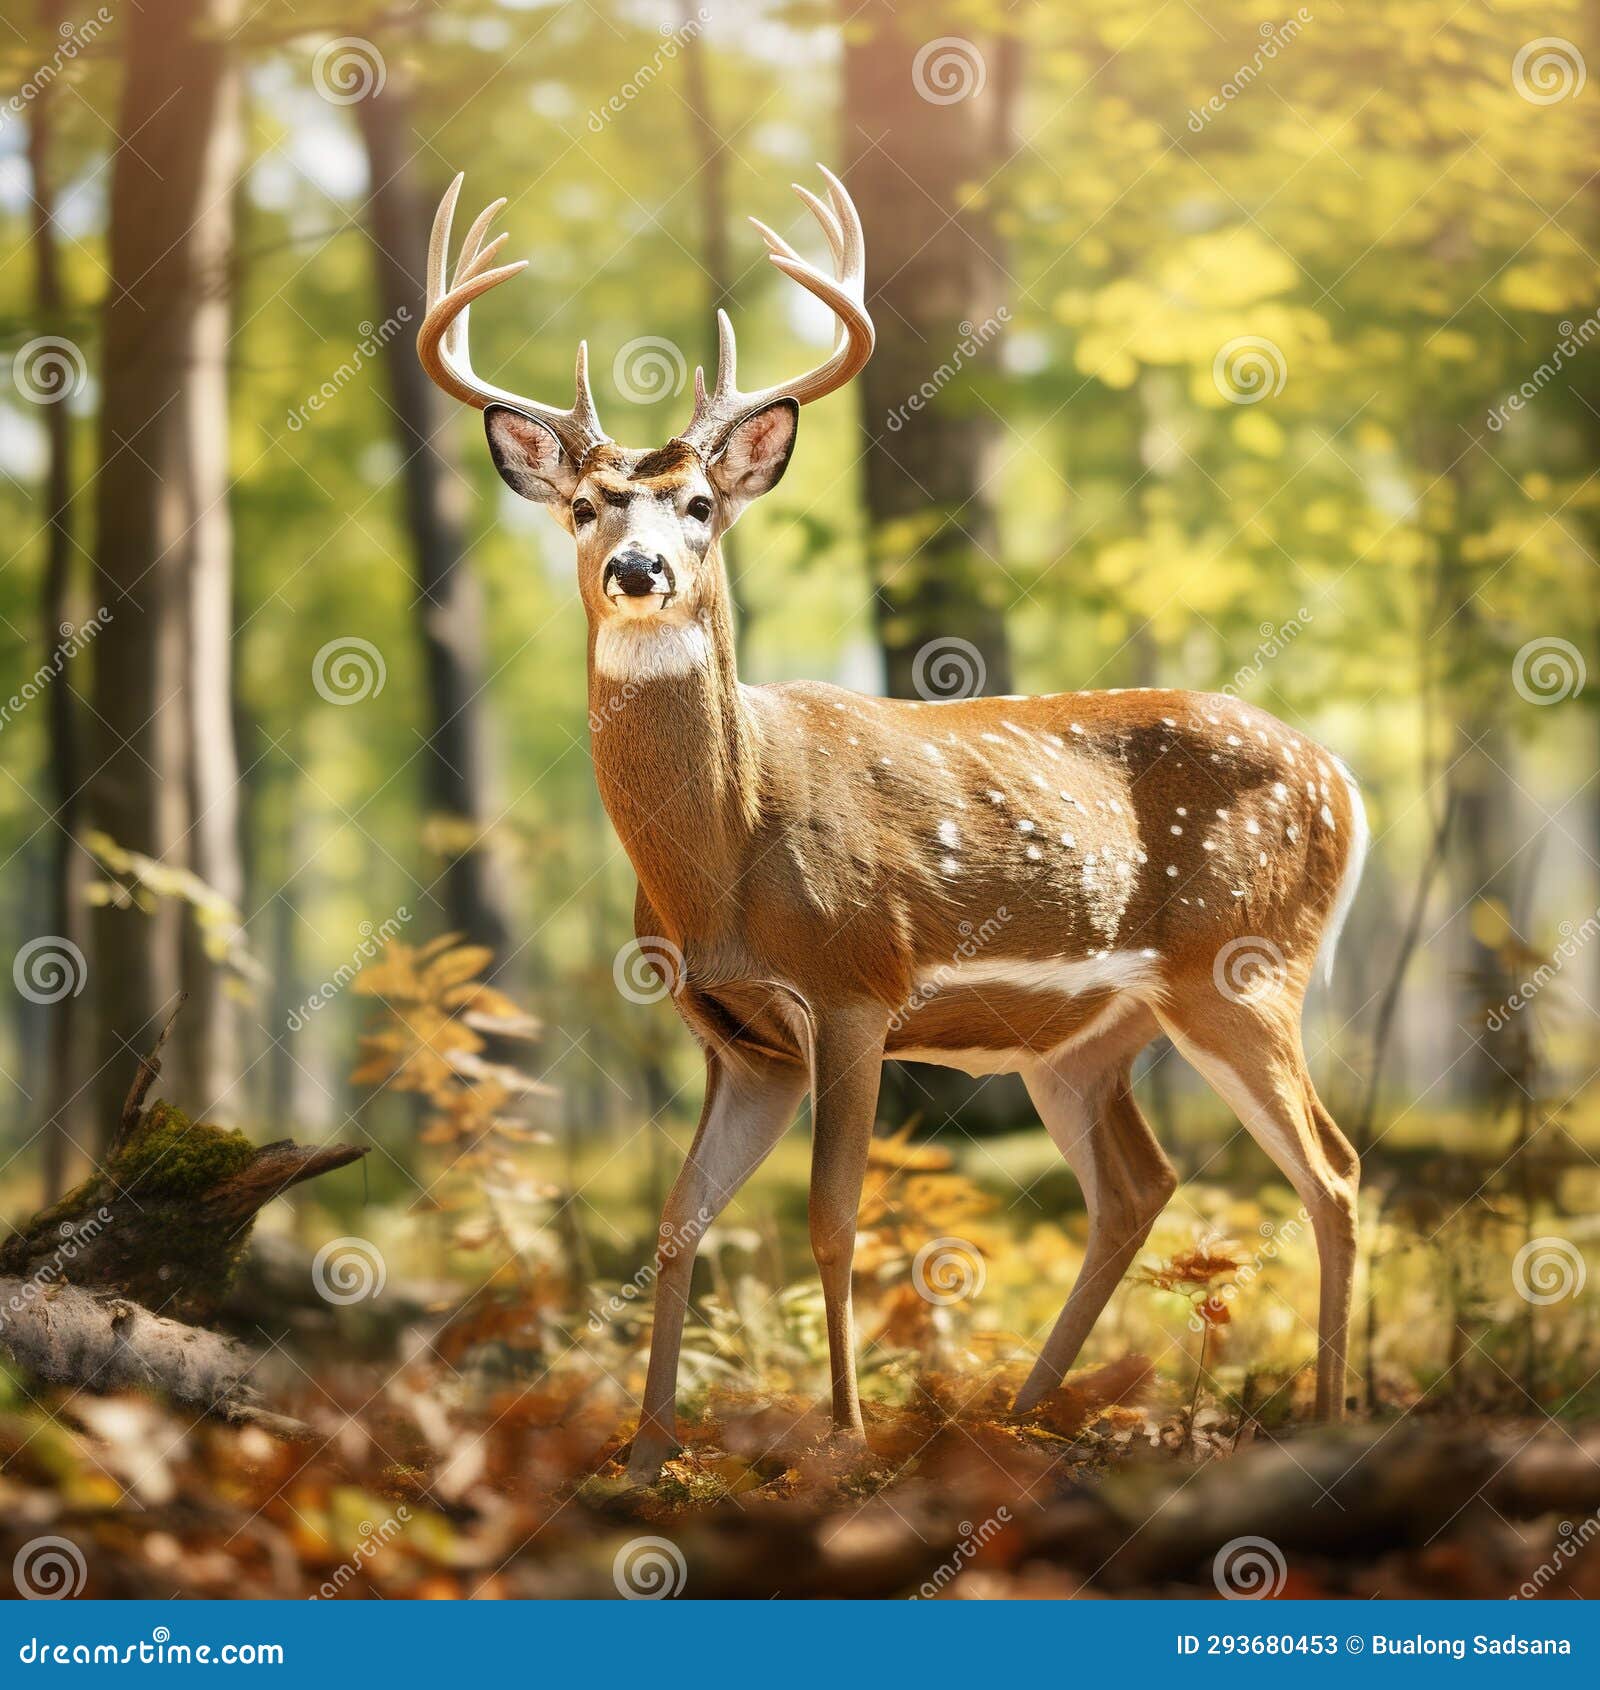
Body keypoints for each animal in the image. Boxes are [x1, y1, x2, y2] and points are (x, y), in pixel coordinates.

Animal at [417, 167, 1368, 1482]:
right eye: (583, 506)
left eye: (700, 503)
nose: (639, 571)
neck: (722, 863)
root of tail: (1344, 778)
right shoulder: (737, 1037)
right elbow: (677, 1217)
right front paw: (649, 1447)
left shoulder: (857, 981)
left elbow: (833, 1216)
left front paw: (844, 1437)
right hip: (1085, 1037)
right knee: (1141, 1184)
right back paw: (1020, 1413)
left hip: (1244, 963)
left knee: (1332, 1170)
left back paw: (1324, 1418)